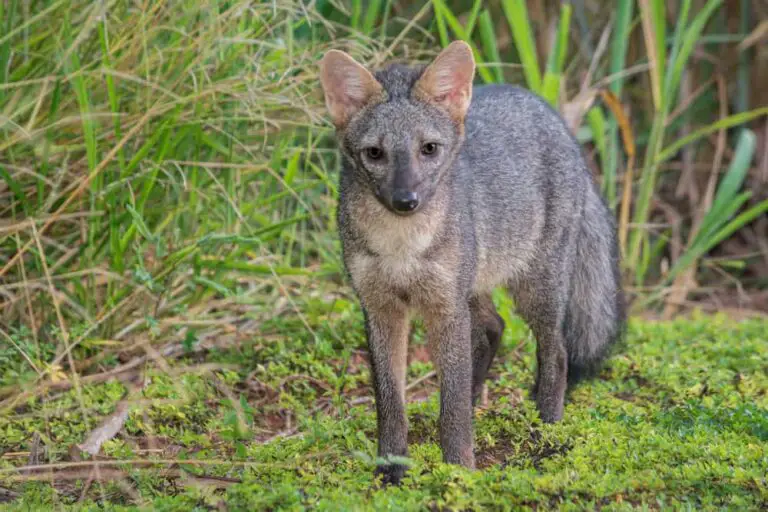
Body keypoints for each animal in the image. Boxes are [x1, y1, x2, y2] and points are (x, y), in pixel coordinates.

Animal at [318, 41, 625, 485]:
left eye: (428, 149)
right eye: (375, 153)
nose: (405, 201)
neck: (402, 247)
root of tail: (550, 114)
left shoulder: (445, 308)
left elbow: (453, 408)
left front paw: (458, 473)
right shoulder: (381, 309)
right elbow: (391, 403)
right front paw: (391, 470)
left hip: (535, 292)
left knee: (557, 354)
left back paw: (547, 431)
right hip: (476, 290)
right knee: (493, 328)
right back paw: (482, 397)